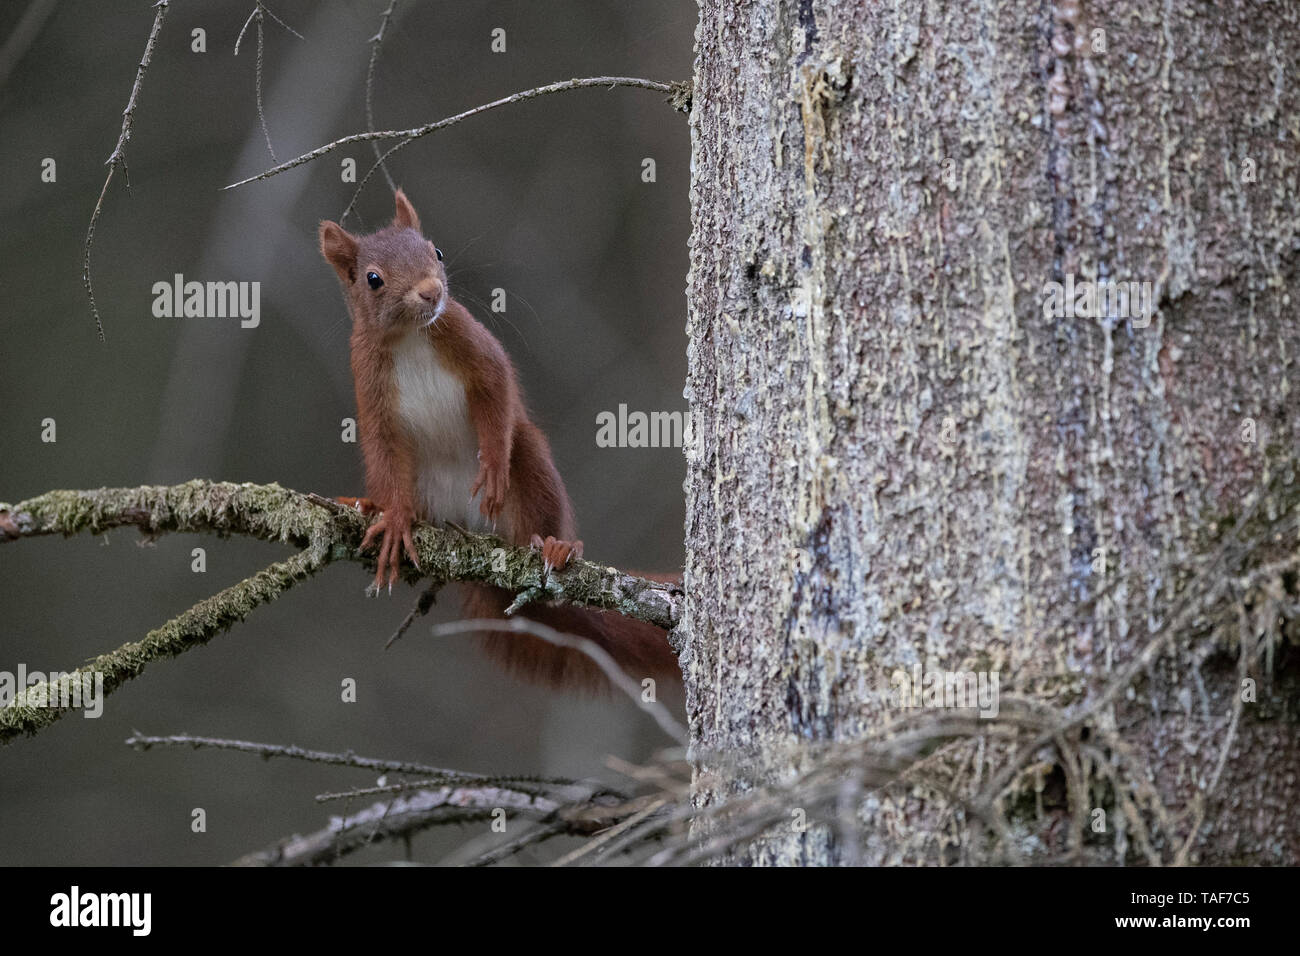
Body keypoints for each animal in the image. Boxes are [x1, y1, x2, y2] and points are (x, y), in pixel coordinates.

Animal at [319, 190, 681, 689]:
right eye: (374, 279)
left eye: (436, 252)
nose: (431, 291)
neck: (412, 336)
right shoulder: (369, 382)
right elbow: (382, 444)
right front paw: (392, 520)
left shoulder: (469, 340)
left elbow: (496, 386)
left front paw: (491, 463)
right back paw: (372, 505)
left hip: (529, 464)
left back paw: (557, 545)